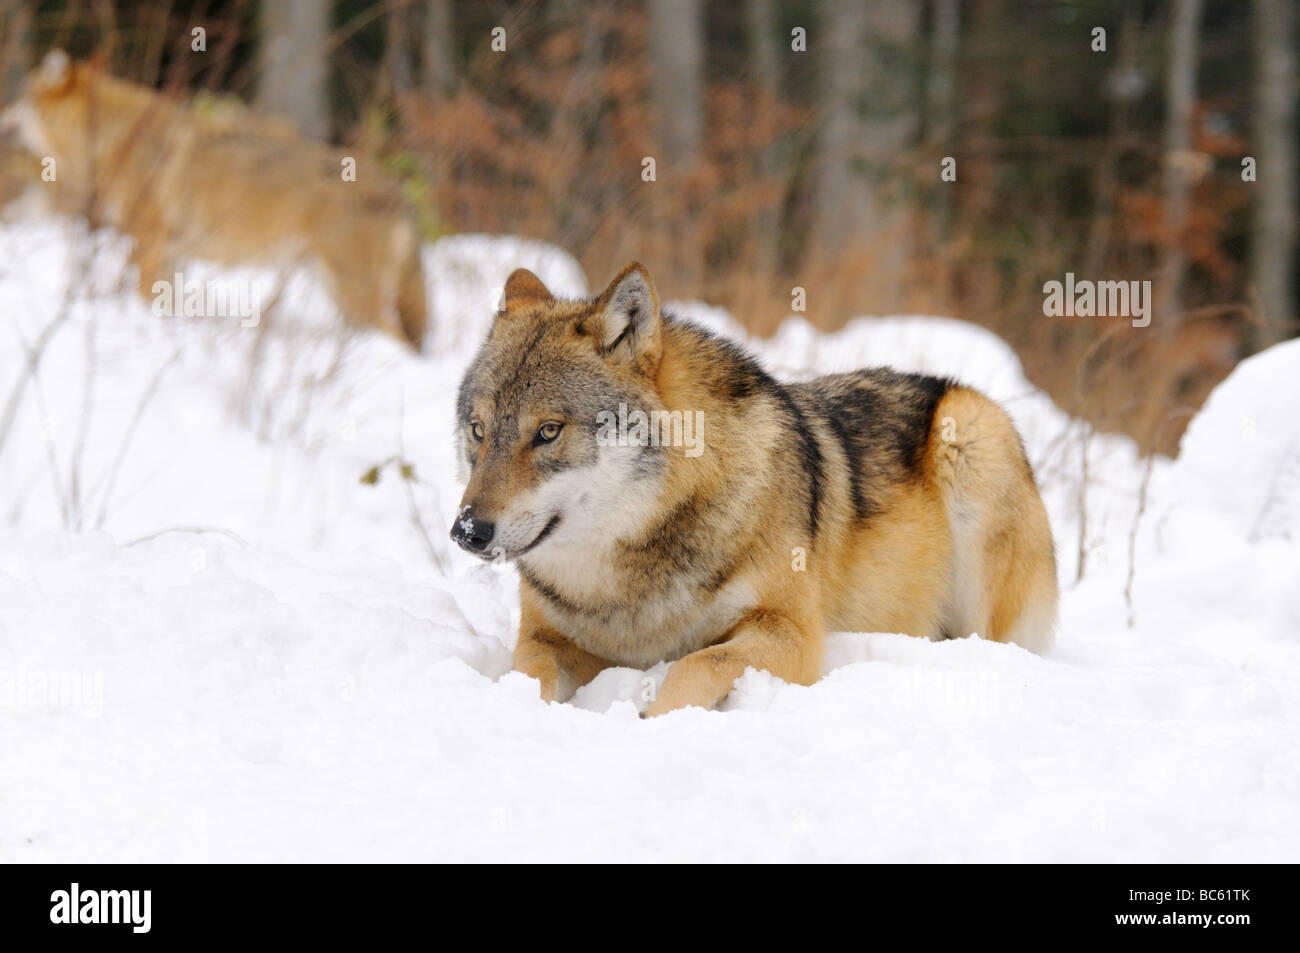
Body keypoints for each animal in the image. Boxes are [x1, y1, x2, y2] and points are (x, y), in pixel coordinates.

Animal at [0, 51, 427, 349]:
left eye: (17, 96)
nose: (2, 114)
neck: (112, 140)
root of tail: (399, 190)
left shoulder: (148, 242)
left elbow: (142, 298)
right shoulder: (170, 253)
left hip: (354, 295)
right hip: (341, 298)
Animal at [452, 263, 1058, 716]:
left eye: (548, 432)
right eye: (479, 430)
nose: (467, 532)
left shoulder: (791, 631)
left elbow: (698, 662)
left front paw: (657, 718)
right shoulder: (548, 637)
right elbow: (527, 672)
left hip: (970, 438)